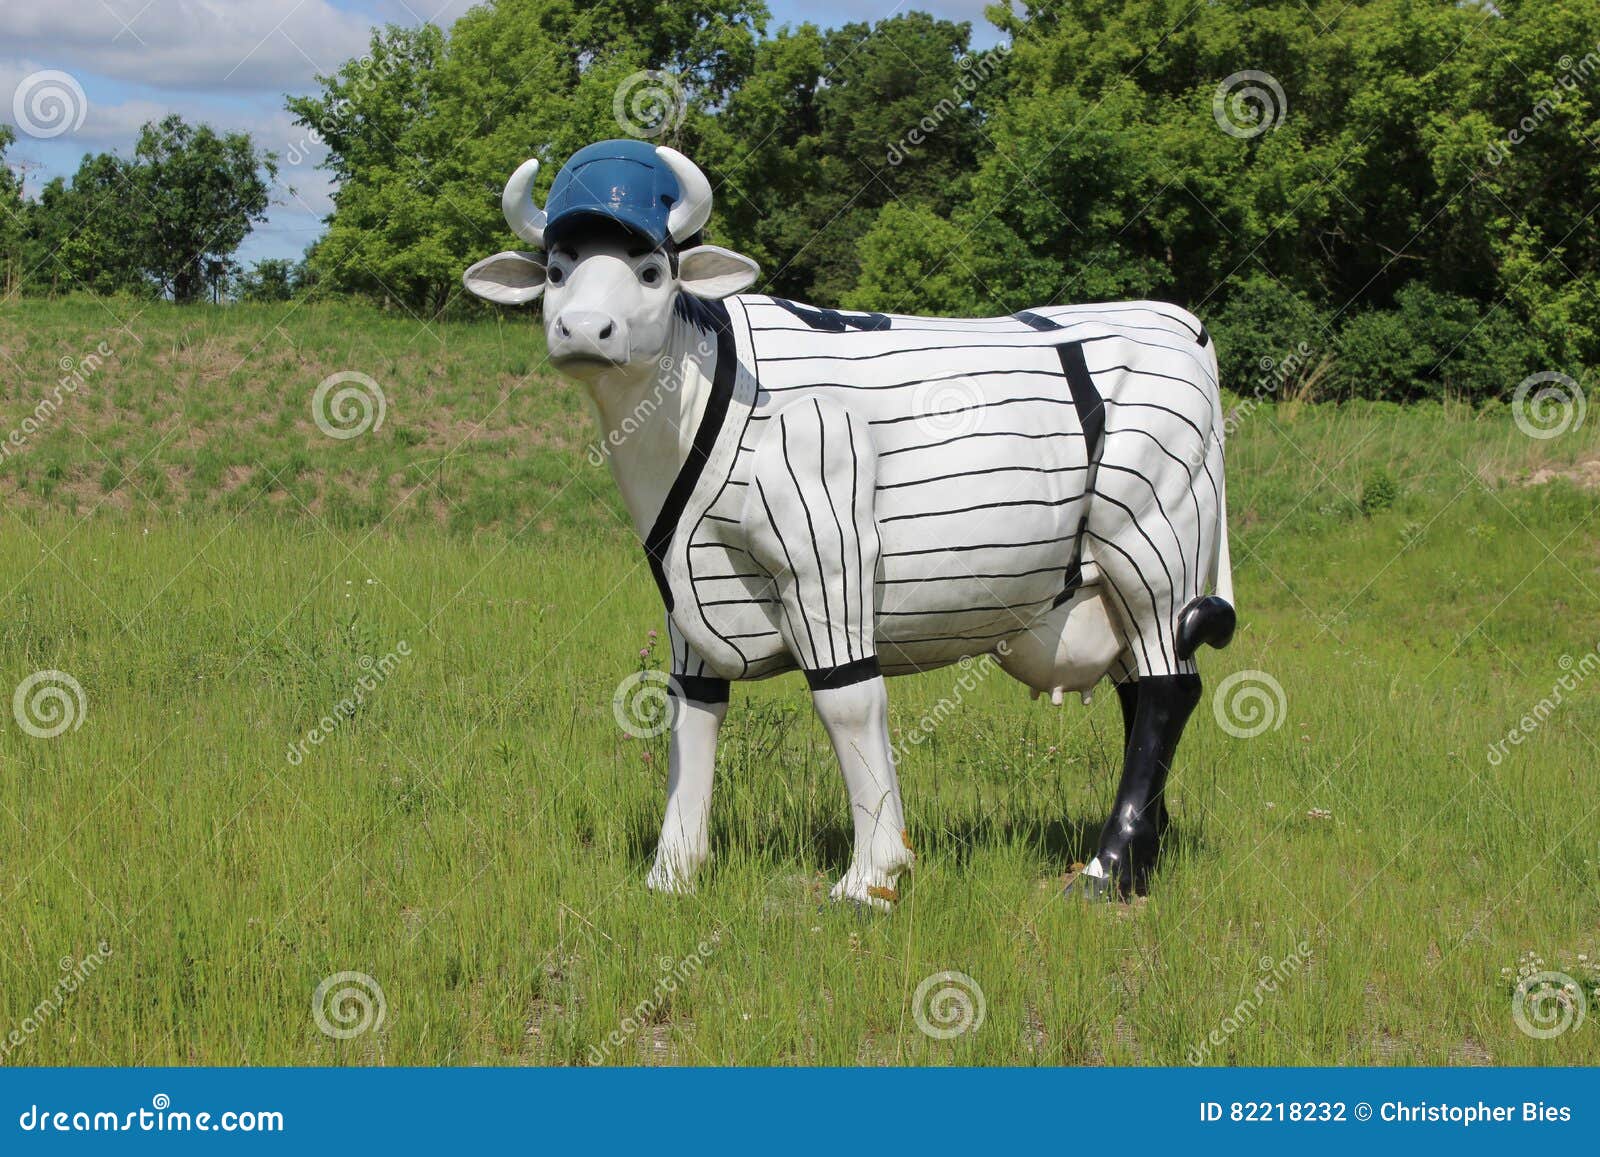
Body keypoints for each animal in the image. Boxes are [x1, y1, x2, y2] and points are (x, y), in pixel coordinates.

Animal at [463, 139, 1237, 906]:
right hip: (1119, 574)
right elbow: (693, 711)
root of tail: (1171, 317)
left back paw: (1109, 867)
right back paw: (1145, 851)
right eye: (557, 270)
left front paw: (873, 874)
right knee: (1141, 689)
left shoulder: (826, 551)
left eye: (652, 271)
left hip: (1153, 538)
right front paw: (672, 872)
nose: (582, 330)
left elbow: (849, 701)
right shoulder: (687, 585)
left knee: (1169, 690)